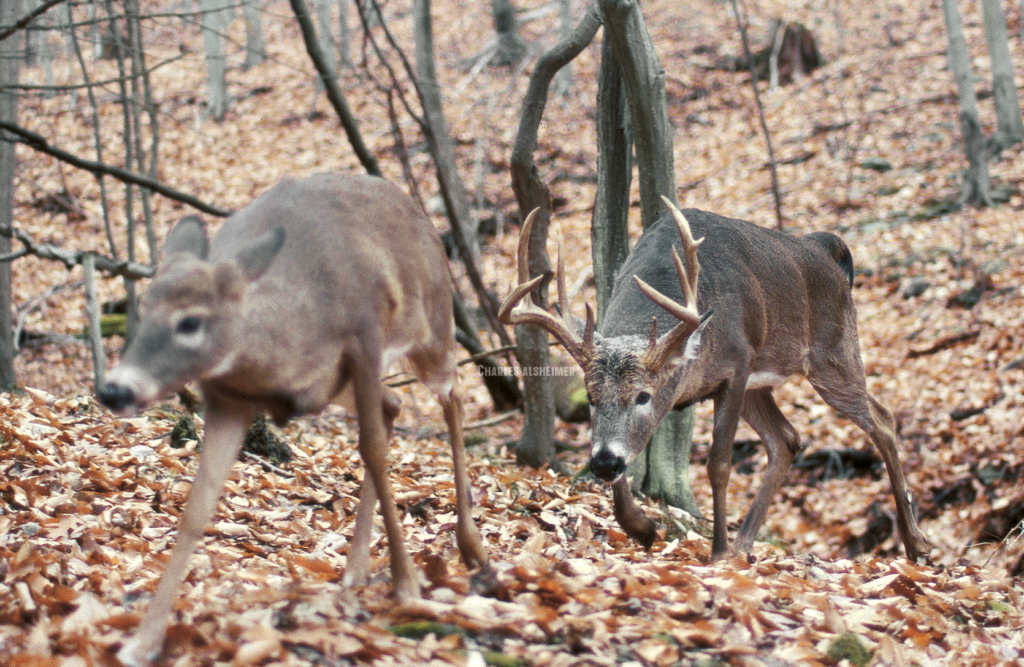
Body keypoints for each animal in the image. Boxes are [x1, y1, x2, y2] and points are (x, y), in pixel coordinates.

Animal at [97, 173, 489, 666]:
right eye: (141, 310)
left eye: (190, 322)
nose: (114, 389)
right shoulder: (228, 398)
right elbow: (197, 506)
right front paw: (142, 642)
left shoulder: (365, 338)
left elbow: (375, 451)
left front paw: (407, 584)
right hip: (341, 386)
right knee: (393, 404)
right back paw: (355, 568)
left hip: (432, 327)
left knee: (451, 399)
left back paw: (470, 545)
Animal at [499, 198, 929, 562]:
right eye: (589, 396)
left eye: (643, 396)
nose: (603, 462)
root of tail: (826, 248)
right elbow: (631, 464)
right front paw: (642, 528)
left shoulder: (737, 366)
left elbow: (718, 463)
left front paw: (718, 551)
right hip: (764, 384)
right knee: (787, 439)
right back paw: (745, 544)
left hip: (832, 354)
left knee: (883, 420)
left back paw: (915, 544)